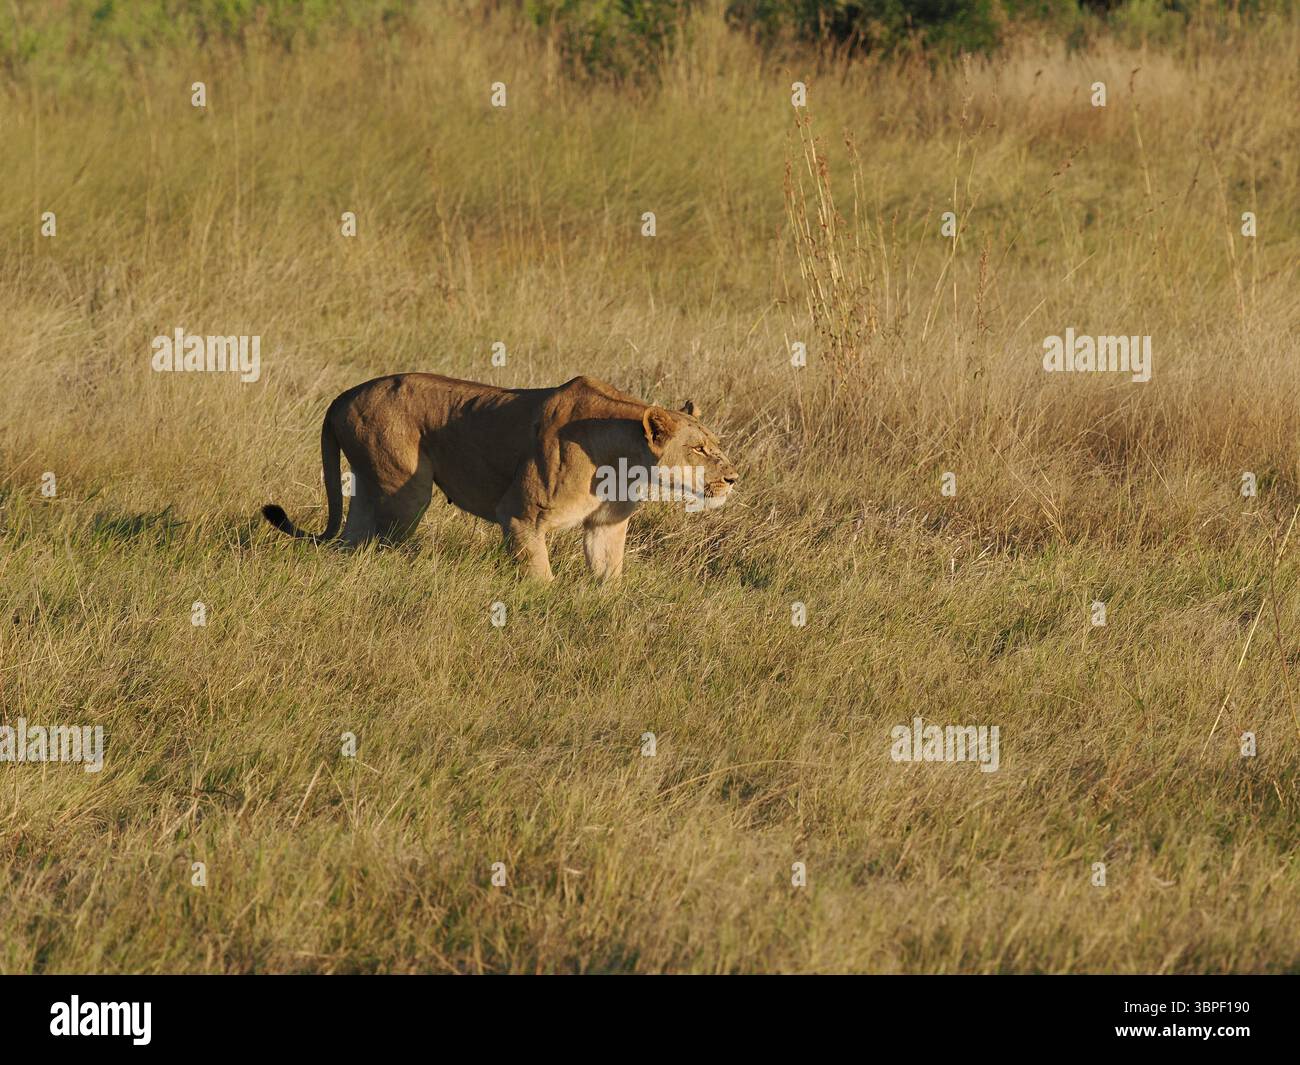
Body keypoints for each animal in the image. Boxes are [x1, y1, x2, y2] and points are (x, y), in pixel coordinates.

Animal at [261, 373, 738, 581]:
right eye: (698, 449)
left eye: (715, 443)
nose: (734, 478)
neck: (623, 461)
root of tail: (342, 395)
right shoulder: (520, 516)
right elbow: (540, 578)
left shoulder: (605, 525)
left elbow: (610, 577)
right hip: (404, 491)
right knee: (379, 544)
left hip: (366, 488)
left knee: (350, 543)